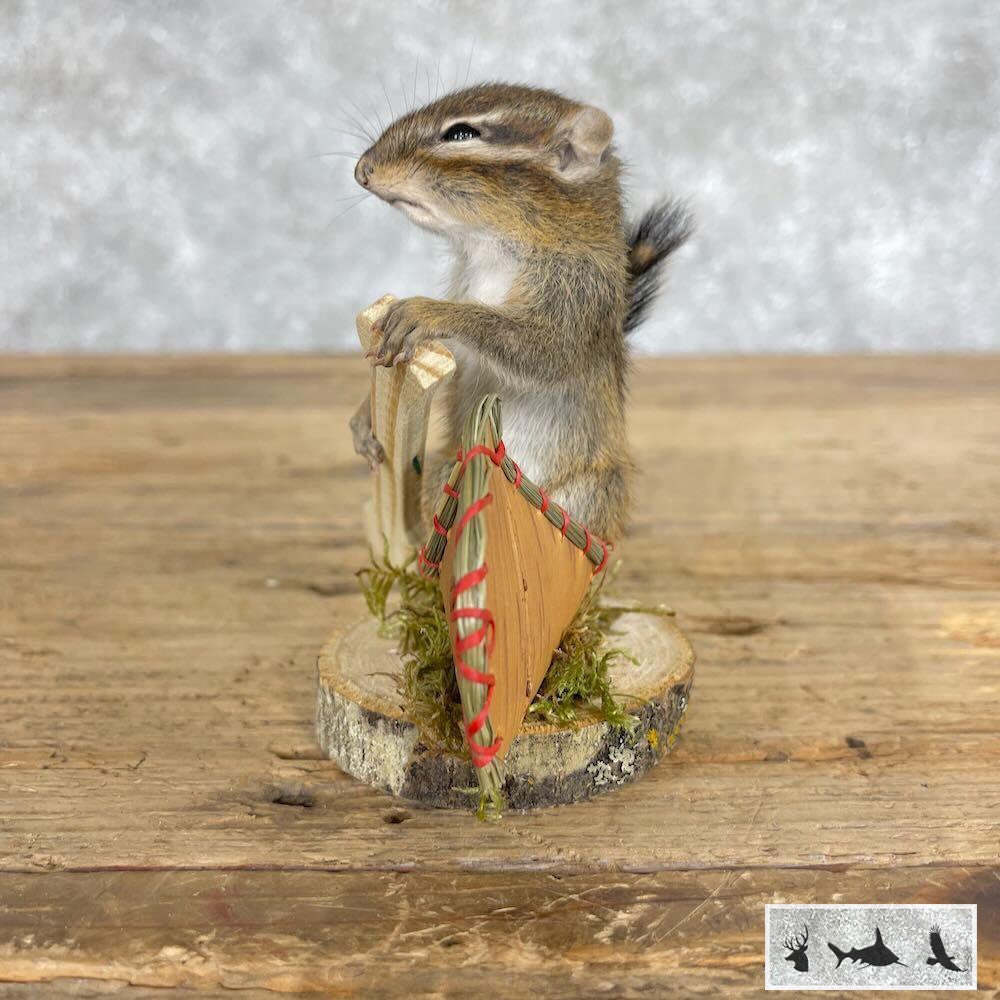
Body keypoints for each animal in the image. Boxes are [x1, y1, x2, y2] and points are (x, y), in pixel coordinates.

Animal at [349, 82, 691, 542]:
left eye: (461, 134)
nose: (362, 170)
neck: (493, 251)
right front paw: (362, 420)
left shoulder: (579, 293)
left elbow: (540, 350)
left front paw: (427, 311)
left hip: (594, 492)